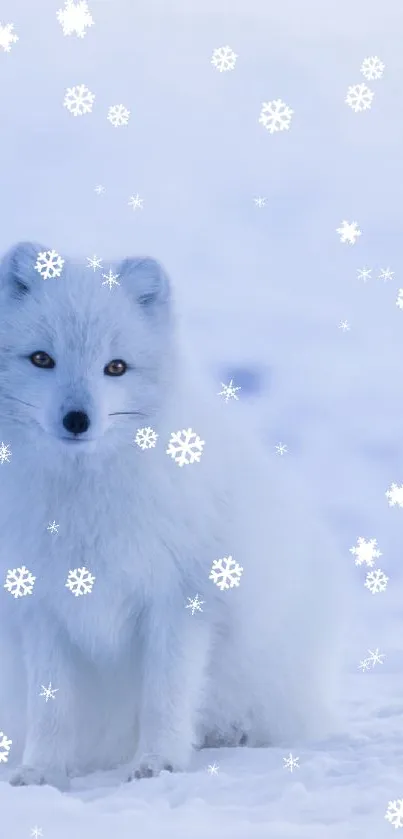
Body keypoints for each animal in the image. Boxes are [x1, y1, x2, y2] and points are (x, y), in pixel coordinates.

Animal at [0, 241, 349, 790]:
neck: (85, 498)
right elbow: (51, 705)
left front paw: (158, 764)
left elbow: (166, 694)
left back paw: (231, 735)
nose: (77, 420)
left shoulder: (180, 598)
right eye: (41, 359)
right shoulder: (42, 606)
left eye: (116, 367)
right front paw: (42, 772)